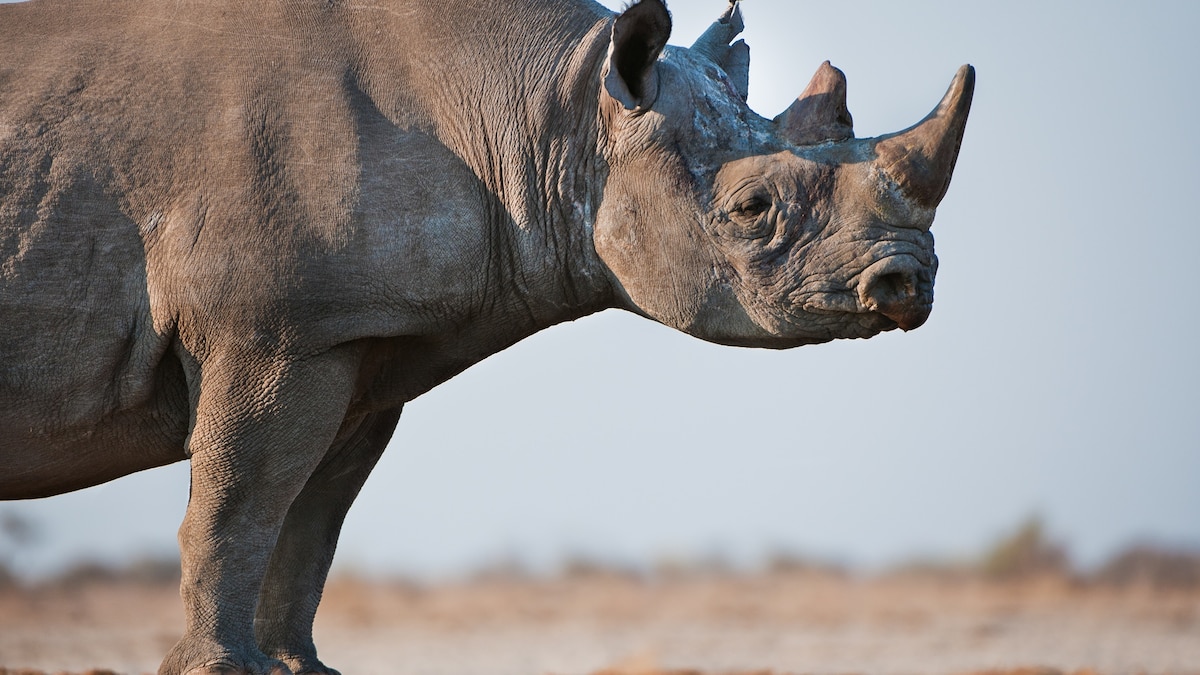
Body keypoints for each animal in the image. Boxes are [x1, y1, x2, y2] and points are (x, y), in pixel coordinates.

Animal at [0, 0, 973, 672]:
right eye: (752, 208)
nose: (907, 284)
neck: (551, 108)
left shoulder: (357, 338)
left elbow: (309, 518)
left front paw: (297, 666)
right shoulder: (271, 328)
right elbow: (237, 501)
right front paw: (218, 669)